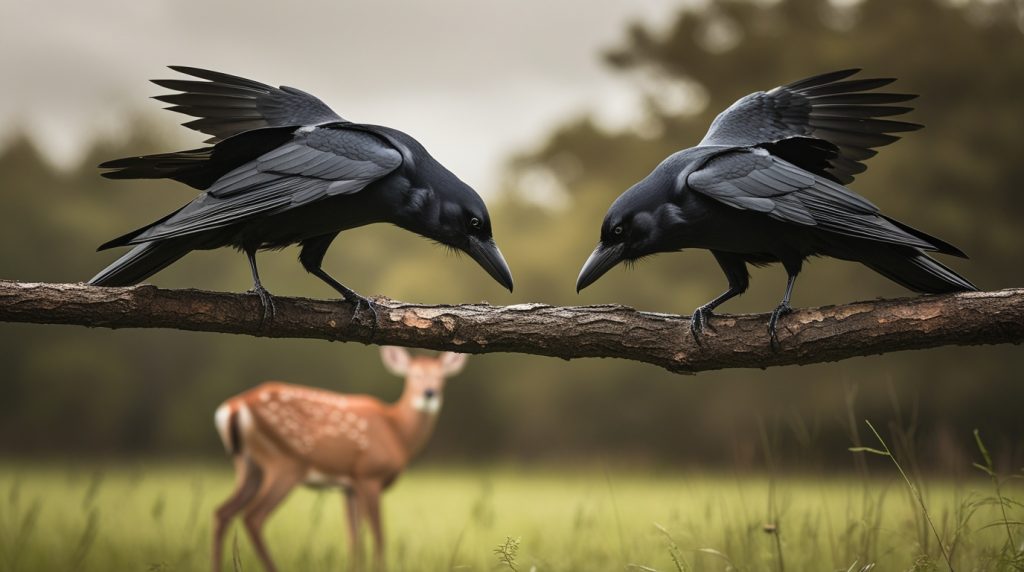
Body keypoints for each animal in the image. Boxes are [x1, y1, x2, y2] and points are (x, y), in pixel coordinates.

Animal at [211, 346, 466, 572]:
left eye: (441, 377)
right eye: (414, 375)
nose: (430, 393)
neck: (397, 432)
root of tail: (235, 407)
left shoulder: (349, 487)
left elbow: (354, 538)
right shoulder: (369, 475)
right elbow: (378, 535)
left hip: (249, 465)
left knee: (223, 512)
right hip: (284, 462)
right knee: (253, 517)